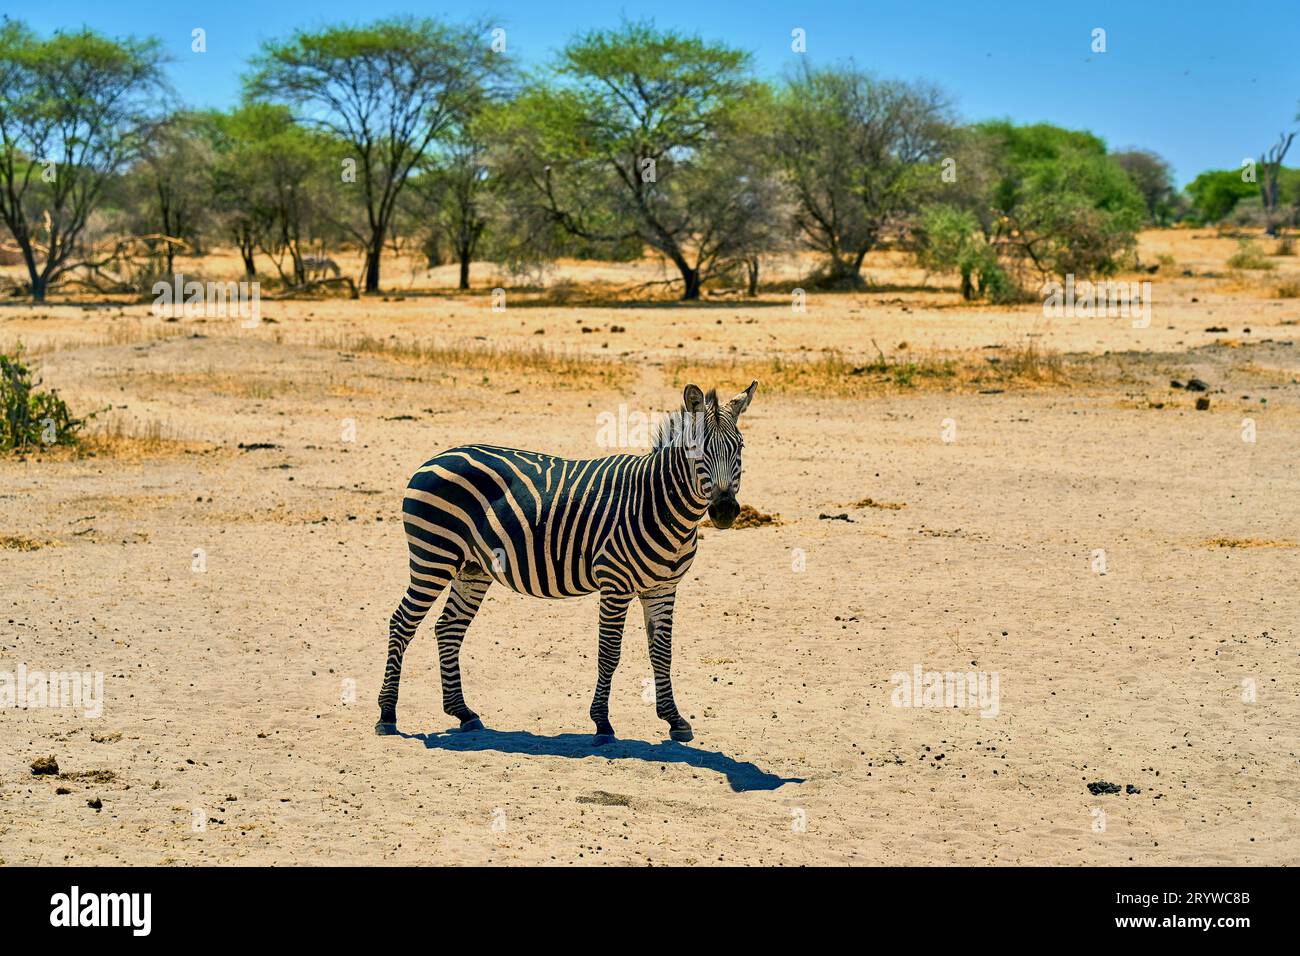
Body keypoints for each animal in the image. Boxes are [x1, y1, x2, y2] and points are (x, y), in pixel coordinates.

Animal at [376, 380, 758, 745]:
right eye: (698, 451)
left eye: (739, 447)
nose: (725, 511)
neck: (656, 503)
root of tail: (436, 456)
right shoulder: (615, 584)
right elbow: (609, 652)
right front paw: (602, 723)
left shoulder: (662, 588)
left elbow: (662, 652)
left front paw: (674, 720)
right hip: (433, 556)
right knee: (402, 623)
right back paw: (387, 715)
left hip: (472, 567)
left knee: (448, 628)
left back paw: (462, 712)